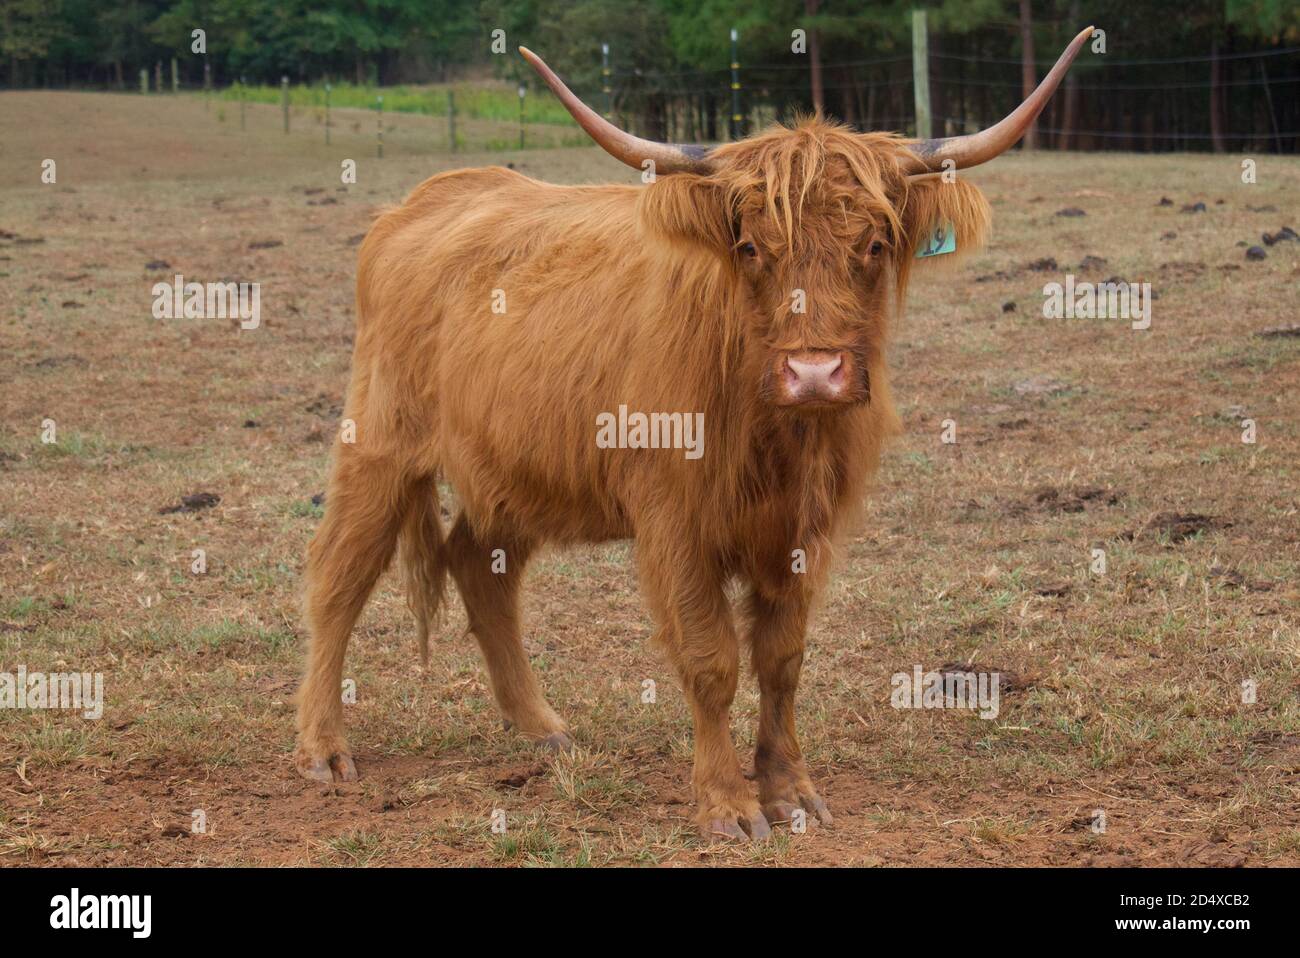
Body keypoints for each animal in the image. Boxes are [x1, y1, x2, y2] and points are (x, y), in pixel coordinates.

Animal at [295, 27, 1094, 841]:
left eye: (874, 245)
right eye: (750, 248)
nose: (814, 373)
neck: (777, 435)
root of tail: (426, 199)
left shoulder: (805, 526)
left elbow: (782, 658)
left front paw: (790, 789)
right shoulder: (674, 519)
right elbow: (712, 661)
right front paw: (728, 805)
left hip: (512, 467)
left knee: (481, 567)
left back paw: (542, 728)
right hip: (380, 445)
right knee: (339, 574)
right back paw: (324, 748)